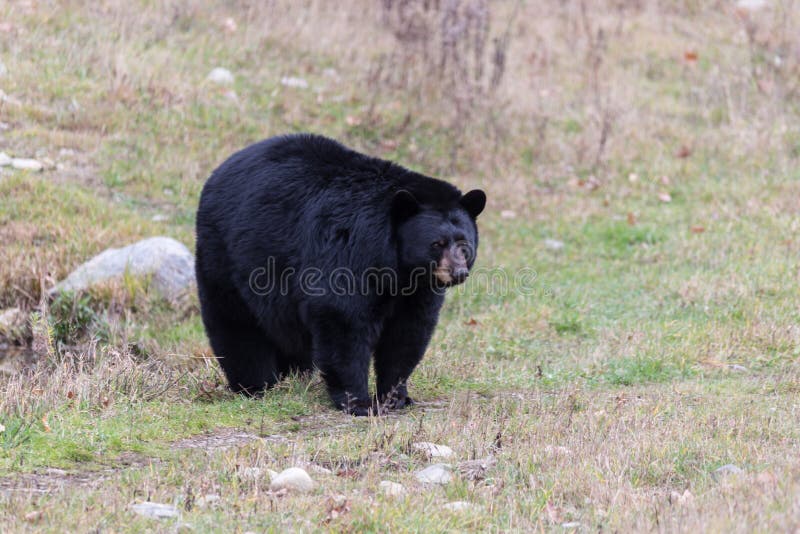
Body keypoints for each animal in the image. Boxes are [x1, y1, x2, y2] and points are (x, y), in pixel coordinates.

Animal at [195, 133, 485, 415]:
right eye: (437, 243)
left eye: (463, 244)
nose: (458, 272)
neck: (396, 266)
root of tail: (220, 171)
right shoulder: (347, 251)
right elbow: (343, 320)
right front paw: (358, 402)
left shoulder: (416, 290)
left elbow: (407, 332)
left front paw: (396, 397)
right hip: (227, 256)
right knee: (237, 323)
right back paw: (254, 385)